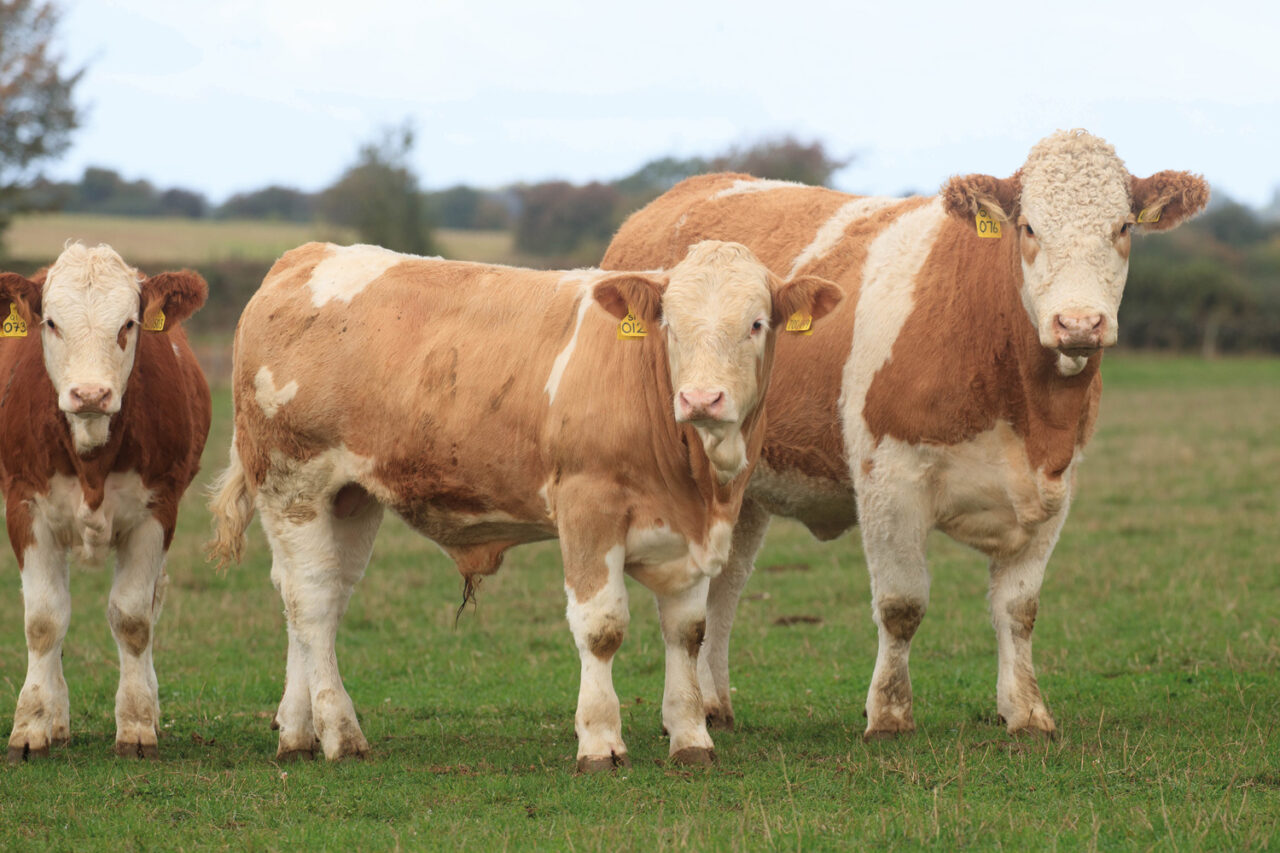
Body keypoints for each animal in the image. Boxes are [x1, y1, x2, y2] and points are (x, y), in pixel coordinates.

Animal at [1, 243, 212, 761]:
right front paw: (32, 726)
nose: (91, 393)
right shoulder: (25, 507)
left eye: (128, 324)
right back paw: (57, 721)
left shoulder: (157, 512)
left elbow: (133, 618)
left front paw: (136, 726)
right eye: (51, 322)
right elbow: (44, 620)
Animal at [207, 240, 840, 770]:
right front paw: (600, 743)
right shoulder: (588, 507)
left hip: (350, 499)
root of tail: (304, 256)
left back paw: (297, 732)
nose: (701, 399)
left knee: (313, 600)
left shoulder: (691, 538)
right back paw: (340, 733)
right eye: (672, 326)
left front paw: (690, 738)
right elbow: (601, 628)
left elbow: (688, 631)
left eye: (756, 324)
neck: (697, 479)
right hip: (295, 485)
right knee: (313, 602)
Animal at [602, 130, 1209, 740]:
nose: (1079, 323)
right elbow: (902, 604)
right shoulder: (887, 477)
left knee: (723, 591)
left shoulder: (1055, 485)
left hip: (745, 489)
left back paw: (713, 705)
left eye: (1123, 227)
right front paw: (890, 714)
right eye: (1029, 227)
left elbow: (1019, 609)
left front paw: (1026, 711)